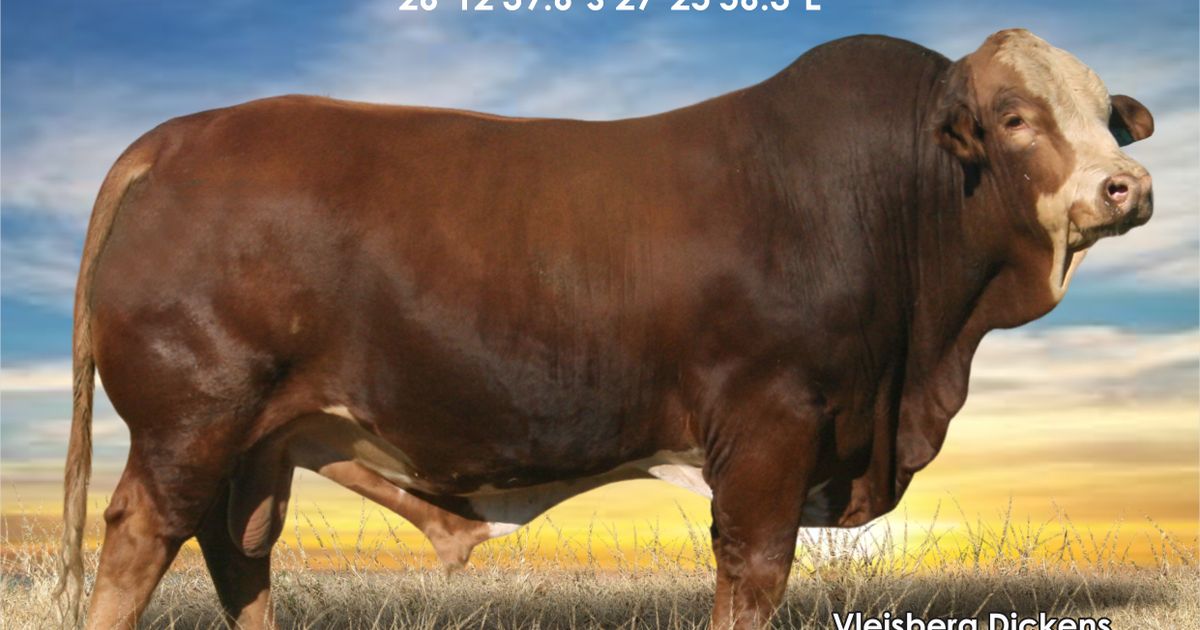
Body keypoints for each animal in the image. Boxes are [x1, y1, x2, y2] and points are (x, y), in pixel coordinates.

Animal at [55, 28, 1154, 629]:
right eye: (1014, 118)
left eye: (1108, 113)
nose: (1128, 186)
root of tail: (179, 135)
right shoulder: (769, 420)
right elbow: (752, 571)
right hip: (193, 415)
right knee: (140, 541)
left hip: (259, 437)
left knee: (239, 550)